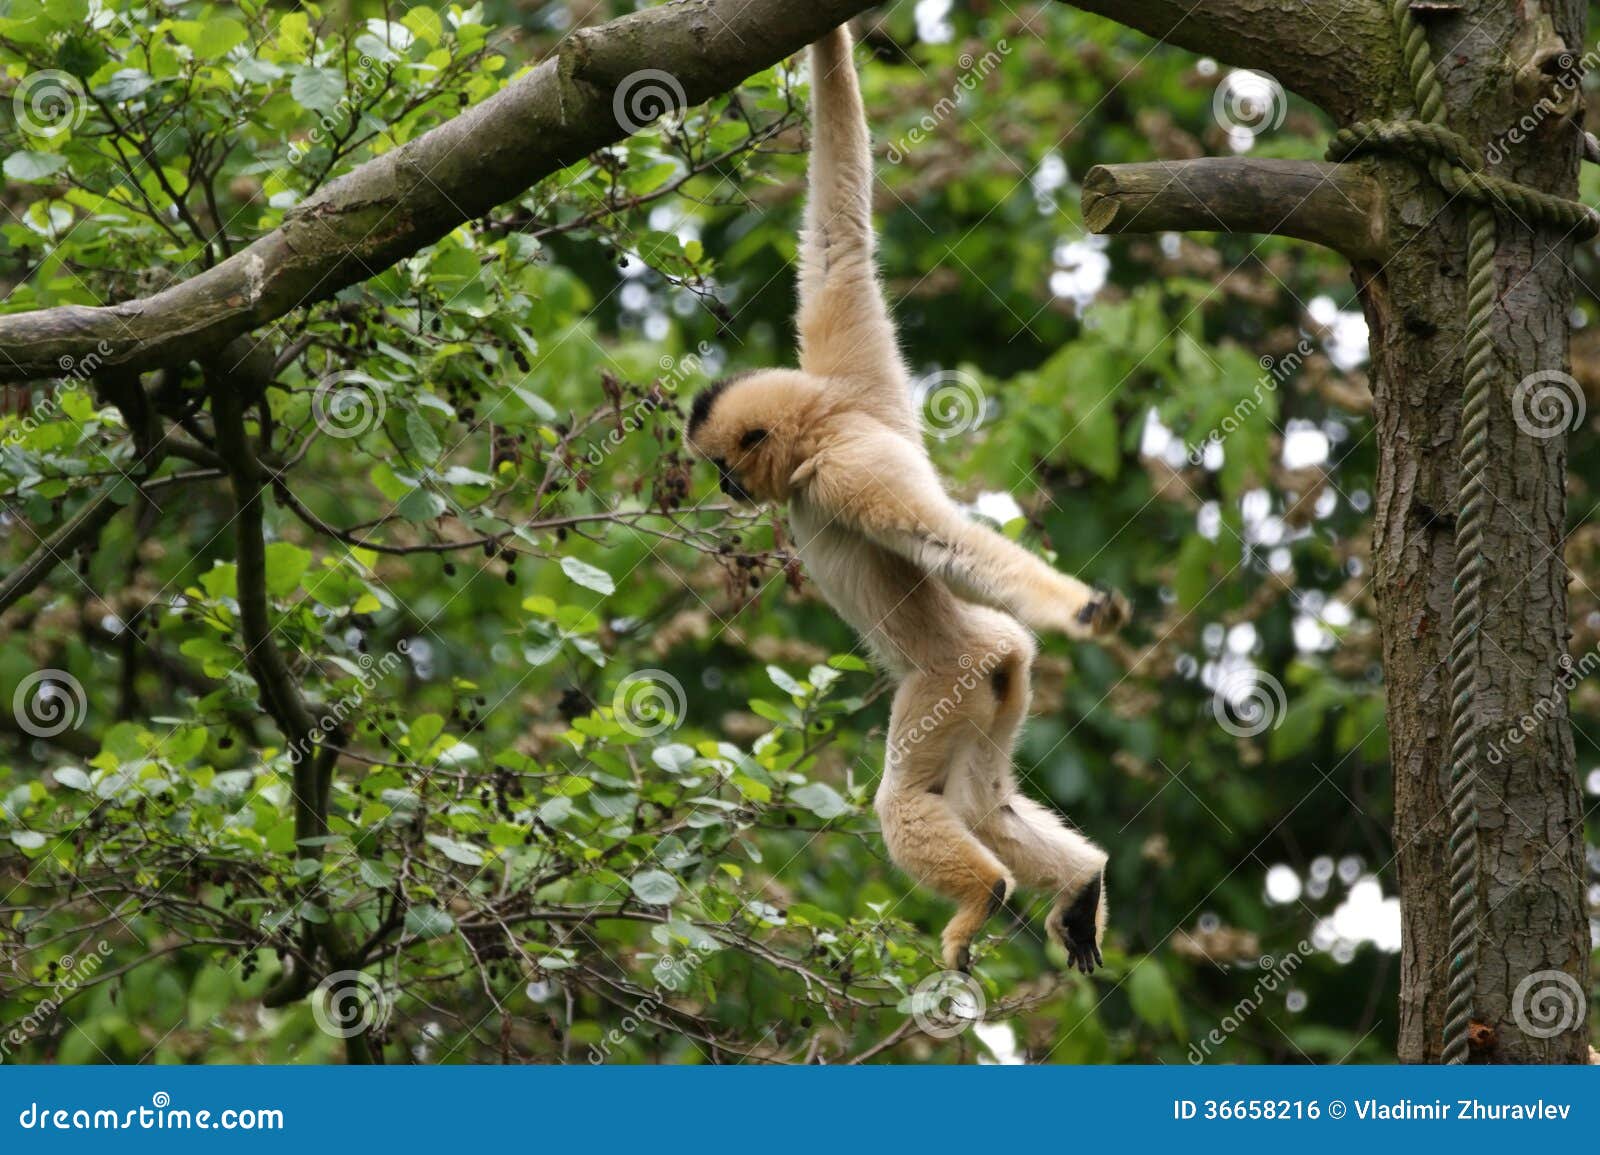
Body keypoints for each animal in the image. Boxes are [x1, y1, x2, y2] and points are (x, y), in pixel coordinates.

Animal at [685, 26, 1128, 975]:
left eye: (726, 470)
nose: (726, 487)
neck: (830, 425)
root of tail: (993, 647)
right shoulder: (851, 361)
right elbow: (837, 238)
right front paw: (829, 41)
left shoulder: (848, 476)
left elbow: (941, 535)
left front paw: (1081, 607)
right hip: (1002, 687)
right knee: (986, 801)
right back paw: (1080, 885)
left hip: (948, 684)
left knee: (913, 800)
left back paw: (983, 893)